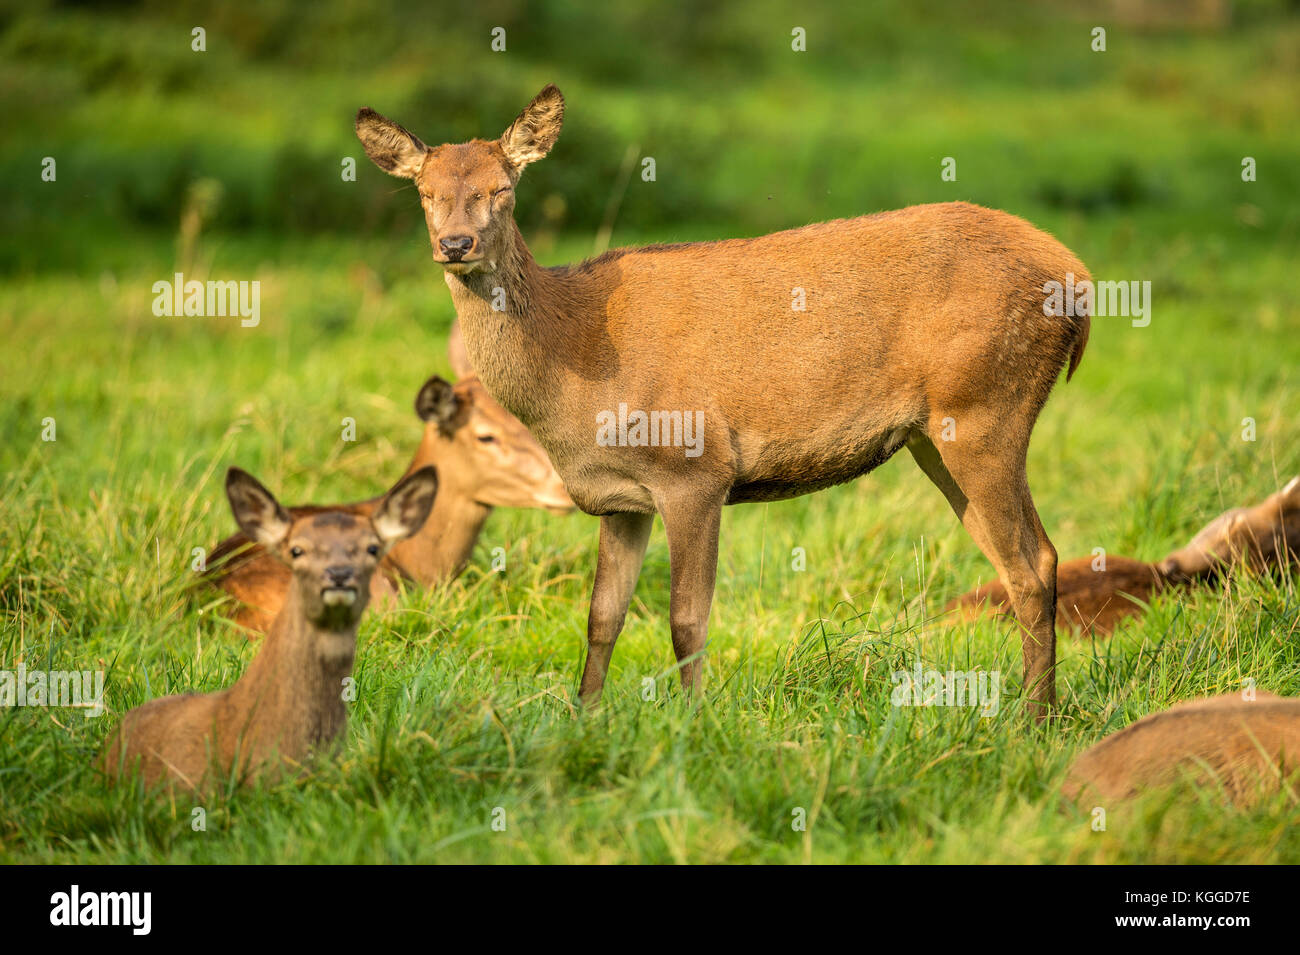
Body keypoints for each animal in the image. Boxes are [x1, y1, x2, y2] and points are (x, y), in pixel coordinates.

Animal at [353, 85, 1086, 717]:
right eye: (425, 193)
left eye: (502, 189)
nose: (456, 245)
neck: (575, 362)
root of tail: (1077, 280)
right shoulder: (621, 500)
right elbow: (601, 617)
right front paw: (583, 718)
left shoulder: (695, 469)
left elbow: (687, 619)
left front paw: (693, 723)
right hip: (933, 435)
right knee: (1035, 556)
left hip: (986, 407)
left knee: (1030, 563)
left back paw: (1032, 720)